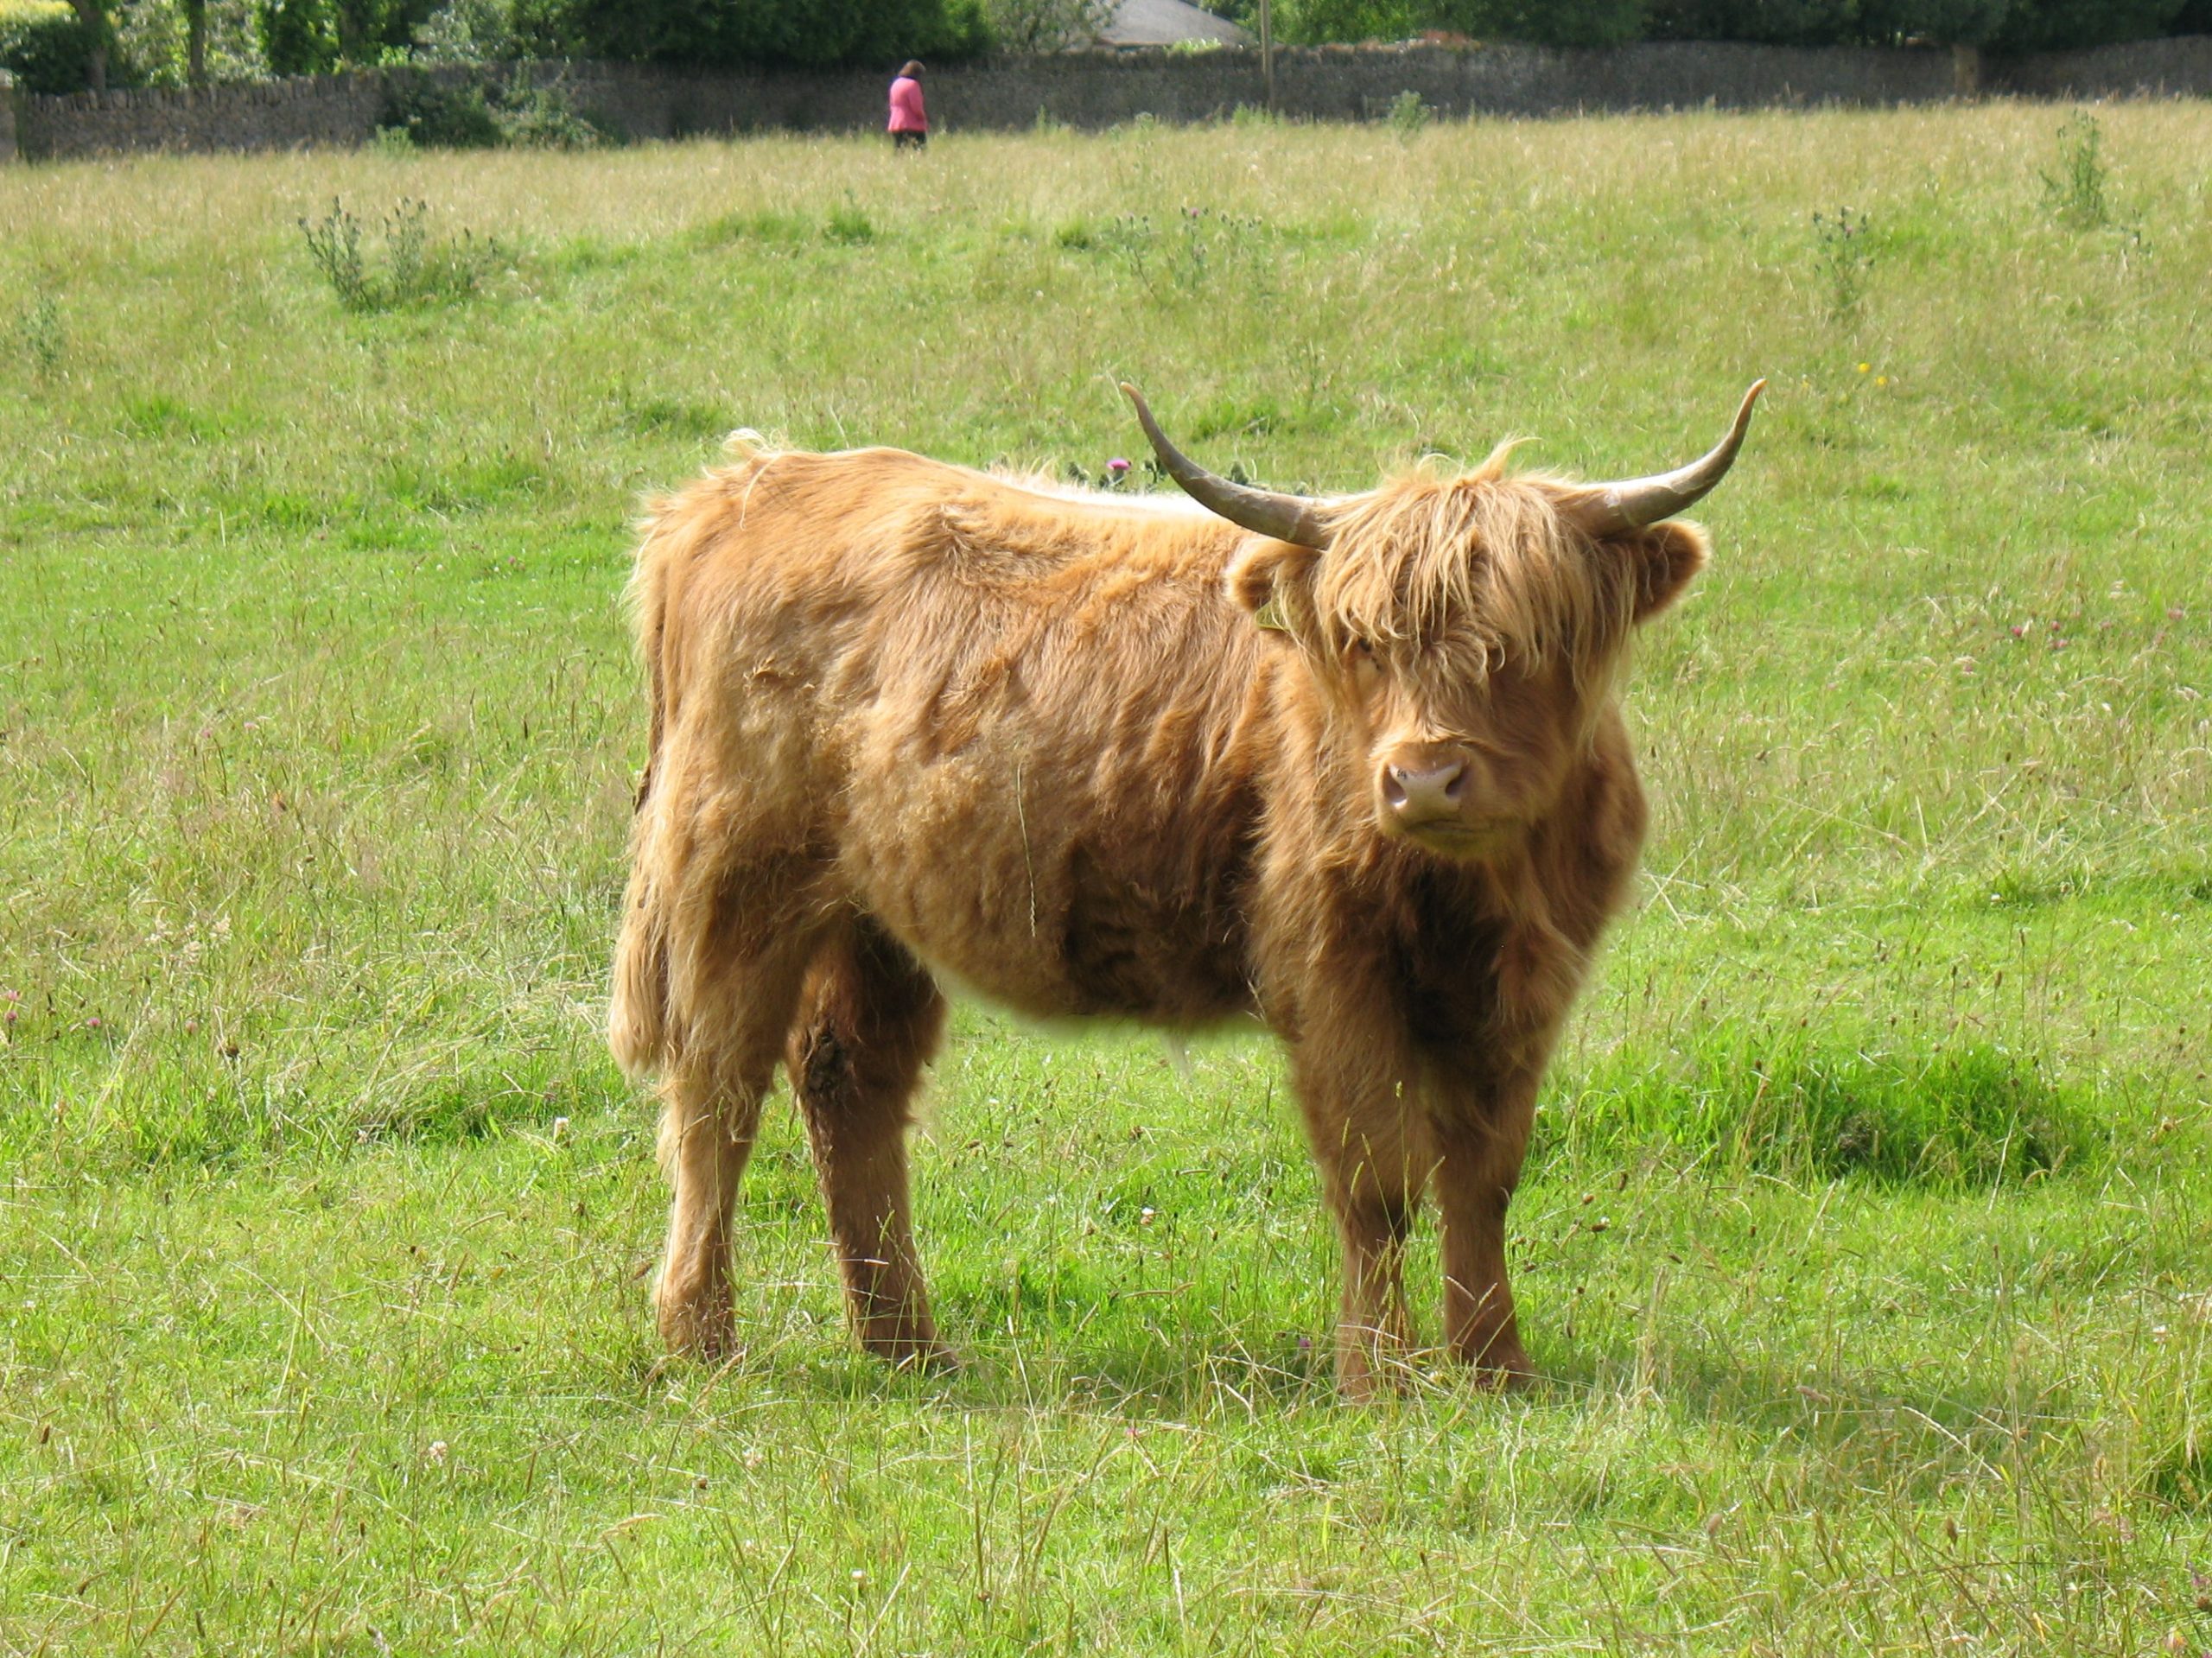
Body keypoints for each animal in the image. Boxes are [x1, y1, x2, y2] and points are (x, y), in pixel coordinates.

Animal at [608, 381, 1762, 1398]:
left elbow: (1483, 1174)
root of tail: (744, 483)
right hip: (736, 882)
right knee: (716, 1093)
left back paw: (907, 1345)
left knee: (849, 1081)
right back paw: (702, 1334)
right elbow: (1376, 1178)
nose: (1424, 776)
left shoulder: (1525, 991)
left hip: (873, 913)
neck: (1469, 895)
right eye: (1360, 641)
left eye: (1528, 641)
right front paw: (1379, 1379)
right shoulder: (1328, 975)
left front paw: (1495, 1368)